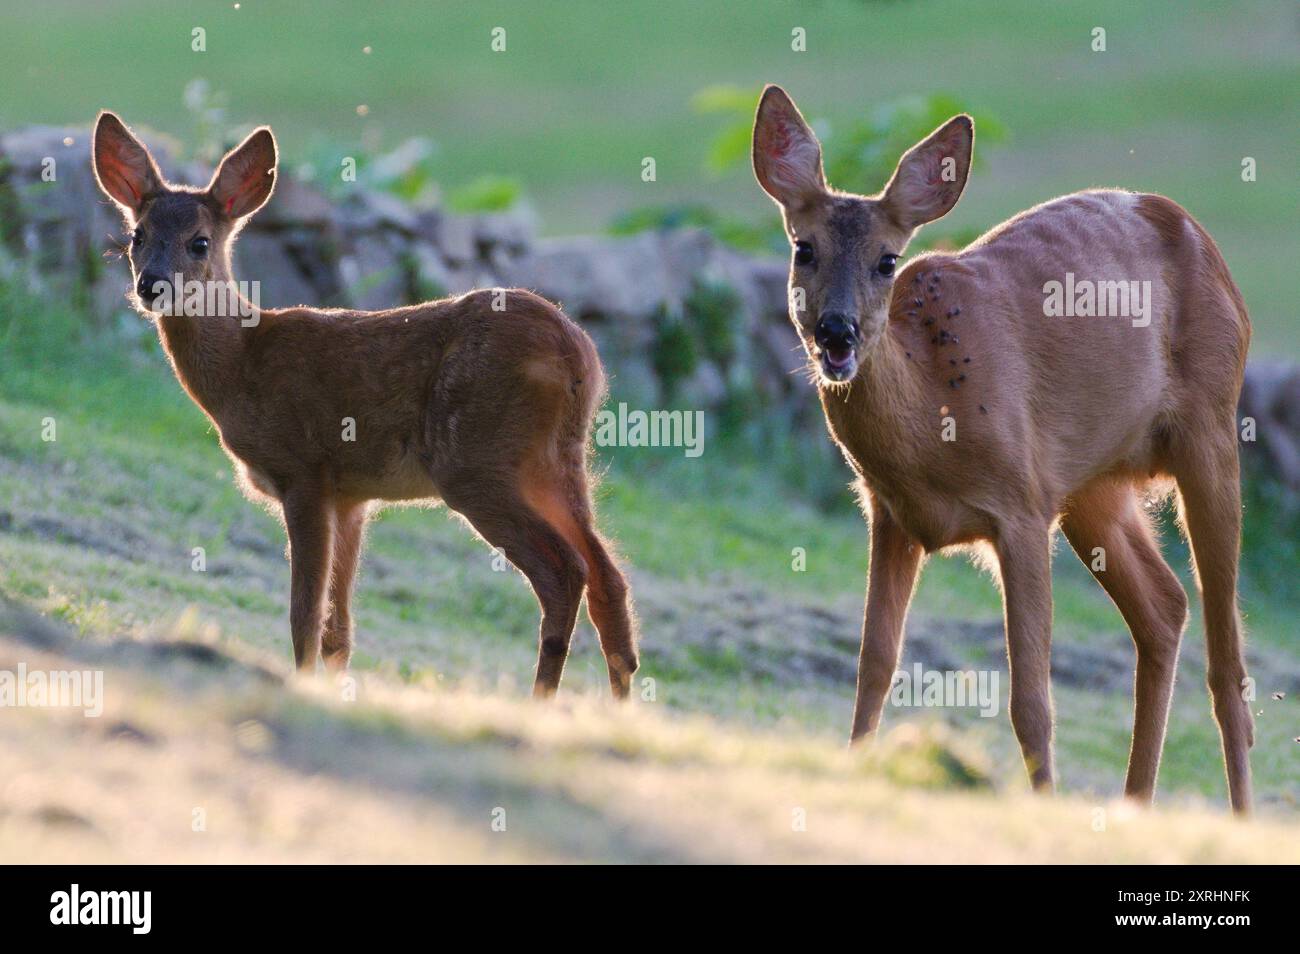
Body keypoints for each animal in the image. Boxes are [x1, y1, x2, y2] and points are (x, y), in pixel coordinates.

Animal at [90, 111, 639, 699]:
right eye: (137, 235)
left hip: (475, 460)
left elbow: (304, 613)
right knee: (608, 574)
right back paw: (618, 703)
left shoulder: (304, 470)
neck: (243, 364)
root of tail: (577, 353)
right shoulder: (352, 497)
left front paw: (301, 682)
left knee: (564, 571)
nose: (151, 285)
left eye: (199, 242)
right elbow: (340, 630)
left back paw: (541, 700)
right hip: (557, 464)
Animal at [751, 85, 1254, 813]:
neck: (933, 420)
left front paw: (1044, 803)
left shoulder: (1020, 506)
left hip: (1211, 426)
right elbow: (875, 666)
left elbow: (1031, 701)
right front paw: (851, 770)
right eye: (803, 248)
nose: (836, 332)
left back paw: (1236, 817)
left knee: (1227, 665)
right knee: (1164, 608)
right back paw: (1134, 804)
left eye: (887, 260)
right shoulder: (890, 515)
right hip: (1091, 485)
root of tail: (1198, 233)